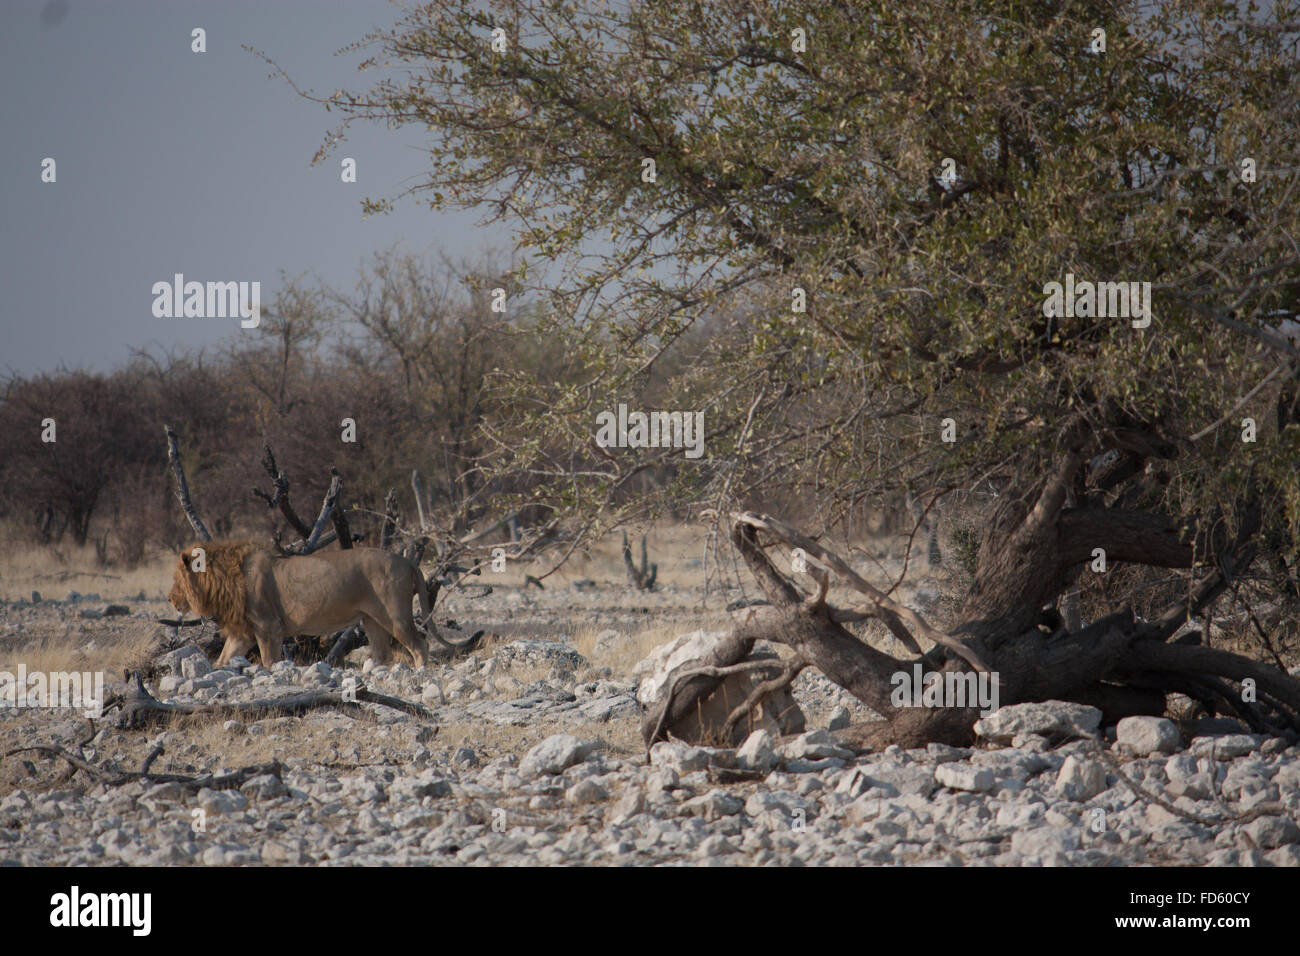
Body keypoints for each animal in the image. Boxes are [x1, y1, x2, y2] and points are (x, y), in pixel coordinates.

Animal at [167, 540, 455, 668]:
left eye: (176, 579)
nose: (169, 598)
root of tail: (407, 561)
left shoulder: (268, 628)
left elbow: (269, 661)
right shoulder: (244, 633)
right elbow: (223, 659)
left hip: (395, 616)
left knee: (420, 644)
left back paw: (419, 671)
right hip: (371, 620)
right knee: (383, 653)